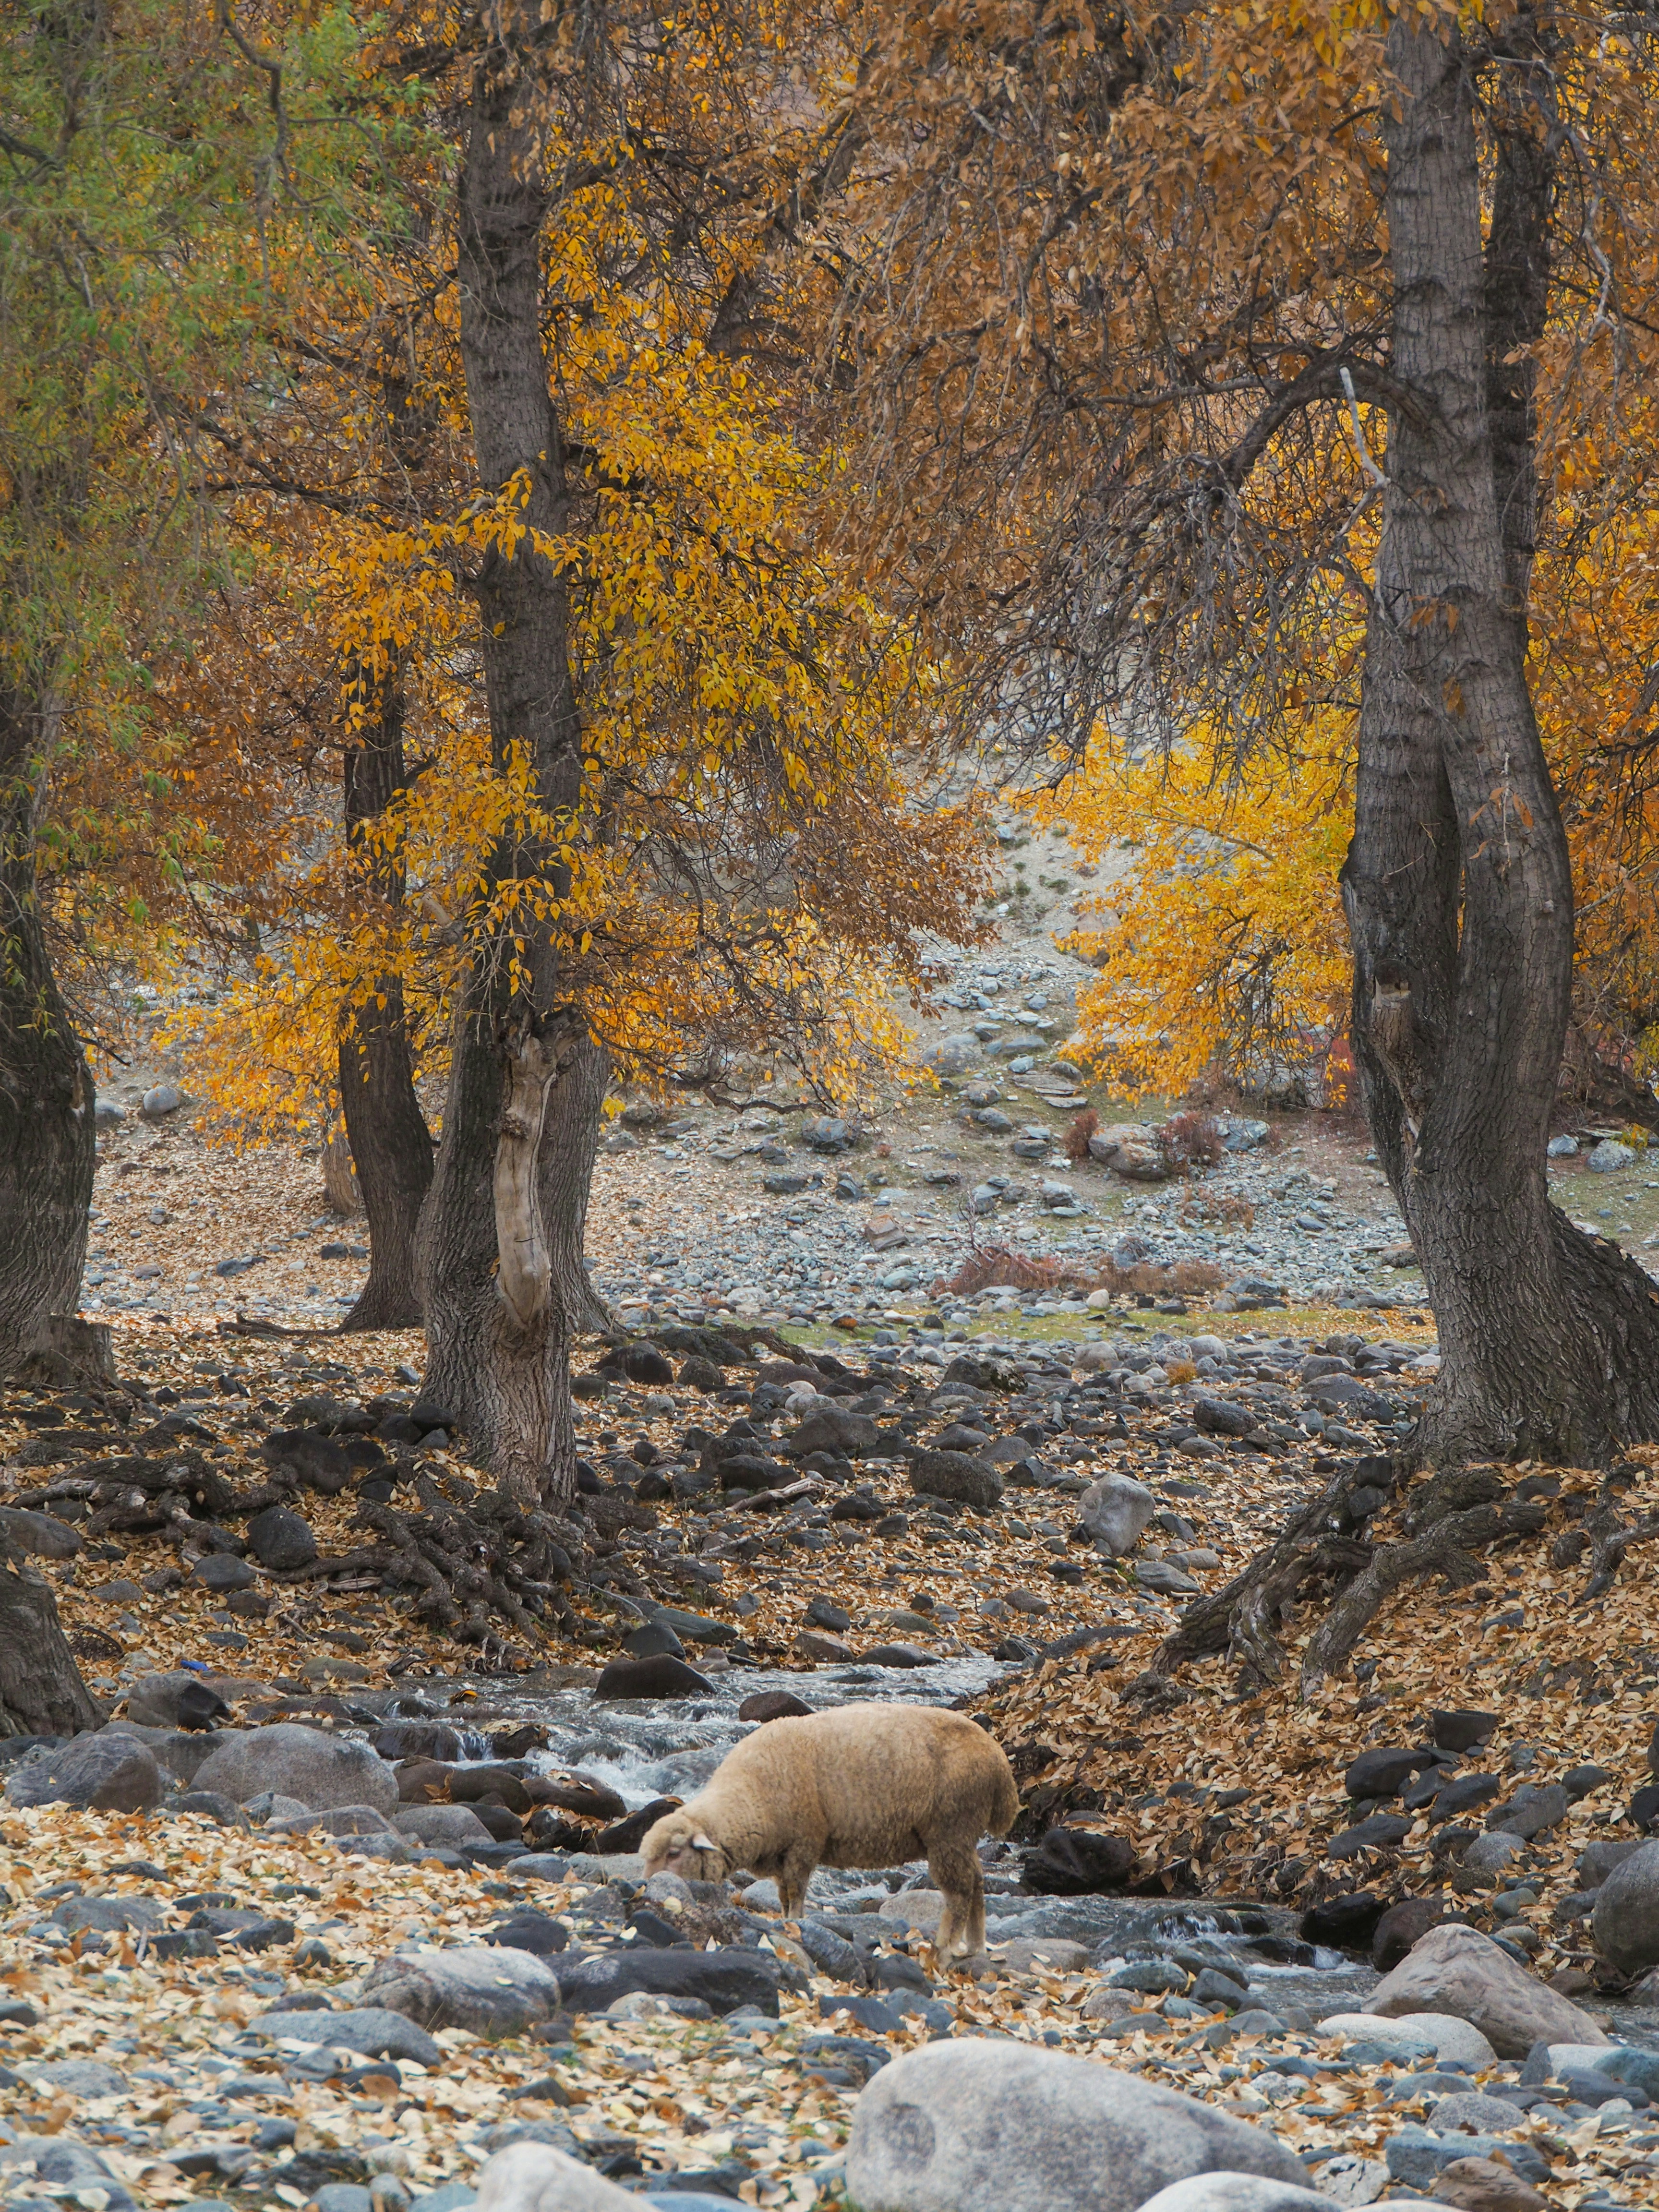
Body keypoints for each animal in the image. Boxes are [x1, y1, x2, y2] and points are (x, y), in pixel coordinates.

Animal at [639, 1701, 1019, 1957]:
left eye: (674, 1853)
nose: (645, 1888)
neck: (750, 1798)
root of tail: (1000, 1763)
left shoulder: (804, 1842)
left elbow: (796, 1892)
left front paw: (796, 1923)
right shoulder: (782, 1854)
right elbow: (783, 1895)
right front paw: (786, 1920)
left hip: (950, 1827)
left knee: (960, 1891)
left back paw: (946, 1947)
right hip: (962, 1833)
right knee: (977, 1883)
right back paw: (975, 1946)